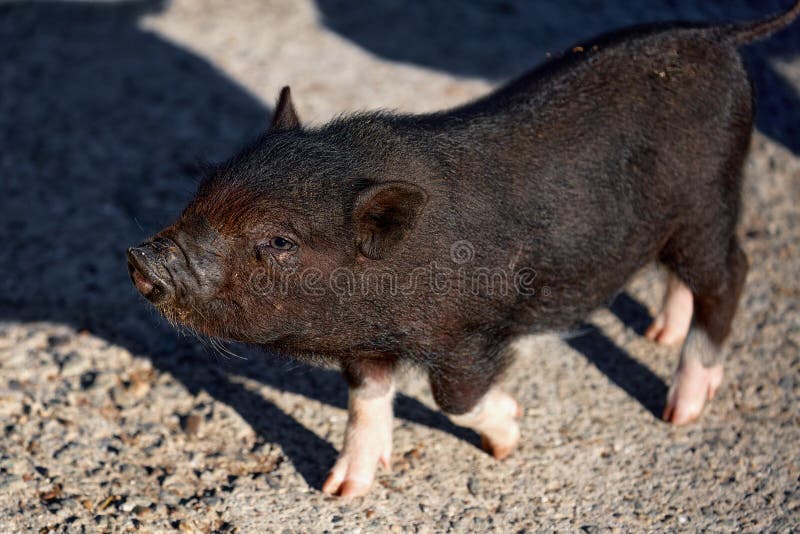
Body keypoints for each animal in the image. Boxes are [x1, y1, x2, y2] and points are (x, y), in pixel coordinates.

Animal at [127, 2, 800, 497]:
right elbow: (366, 398)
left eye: (278, 240)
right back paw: (658, 336)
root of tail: (716, 33)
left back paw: (678, 413)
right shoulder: (366, 345)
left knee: (731, 273)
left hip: (707, 198)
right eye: (202, 192)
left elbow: (453, 399)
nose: (141, 259)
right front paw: (340, 491)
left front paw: (511, 435)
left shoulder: (469, 333)